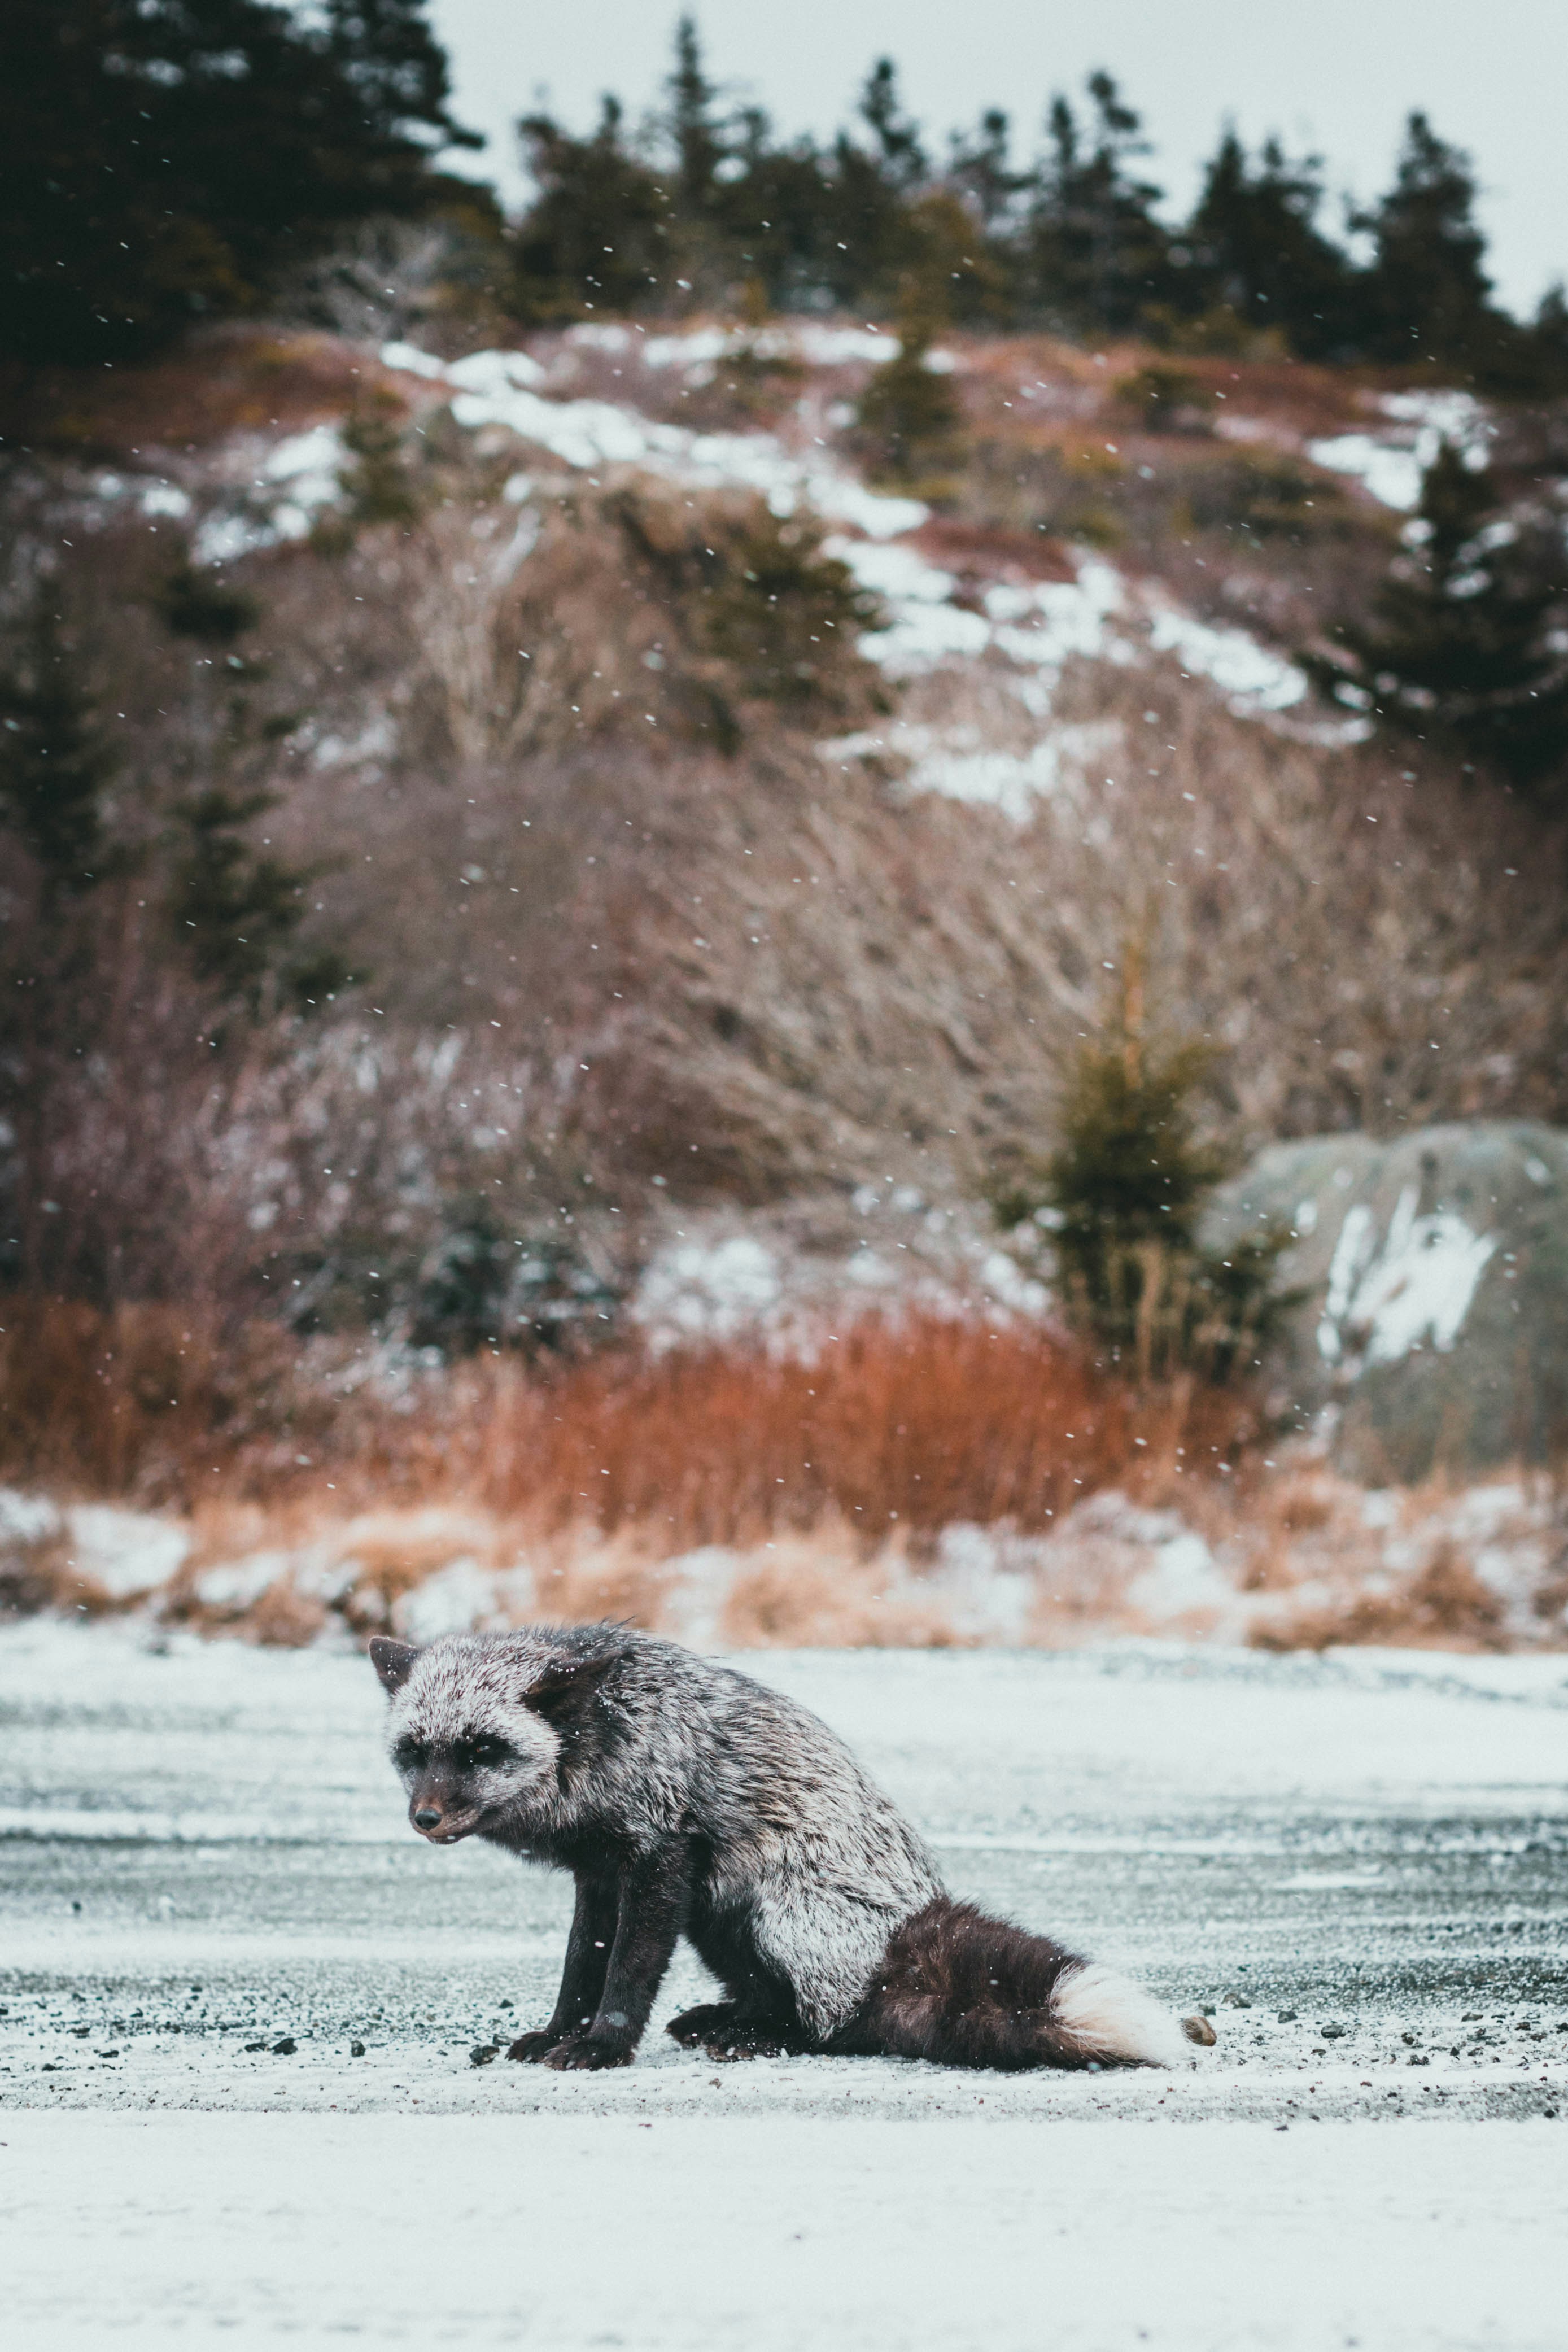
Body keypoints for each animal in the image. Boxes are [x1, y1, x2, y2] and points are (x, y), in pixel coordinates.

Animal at [369, 1623, 1213, 2073]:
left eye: (482, 1750)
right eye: (414, 1751)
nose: (426, 1817)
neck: (603, 1745)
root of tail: (903, 1935)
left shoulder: (657, 1862)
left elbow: (625, 1975)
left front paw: (604, 2045)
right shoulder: (600, 1876)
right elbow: (581, 1967)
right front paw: (558, 2033)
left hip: (764, 1913)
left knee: (831, 2026)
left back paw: (756, 2036)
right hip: (716, 1921)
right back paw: (722, 2021)